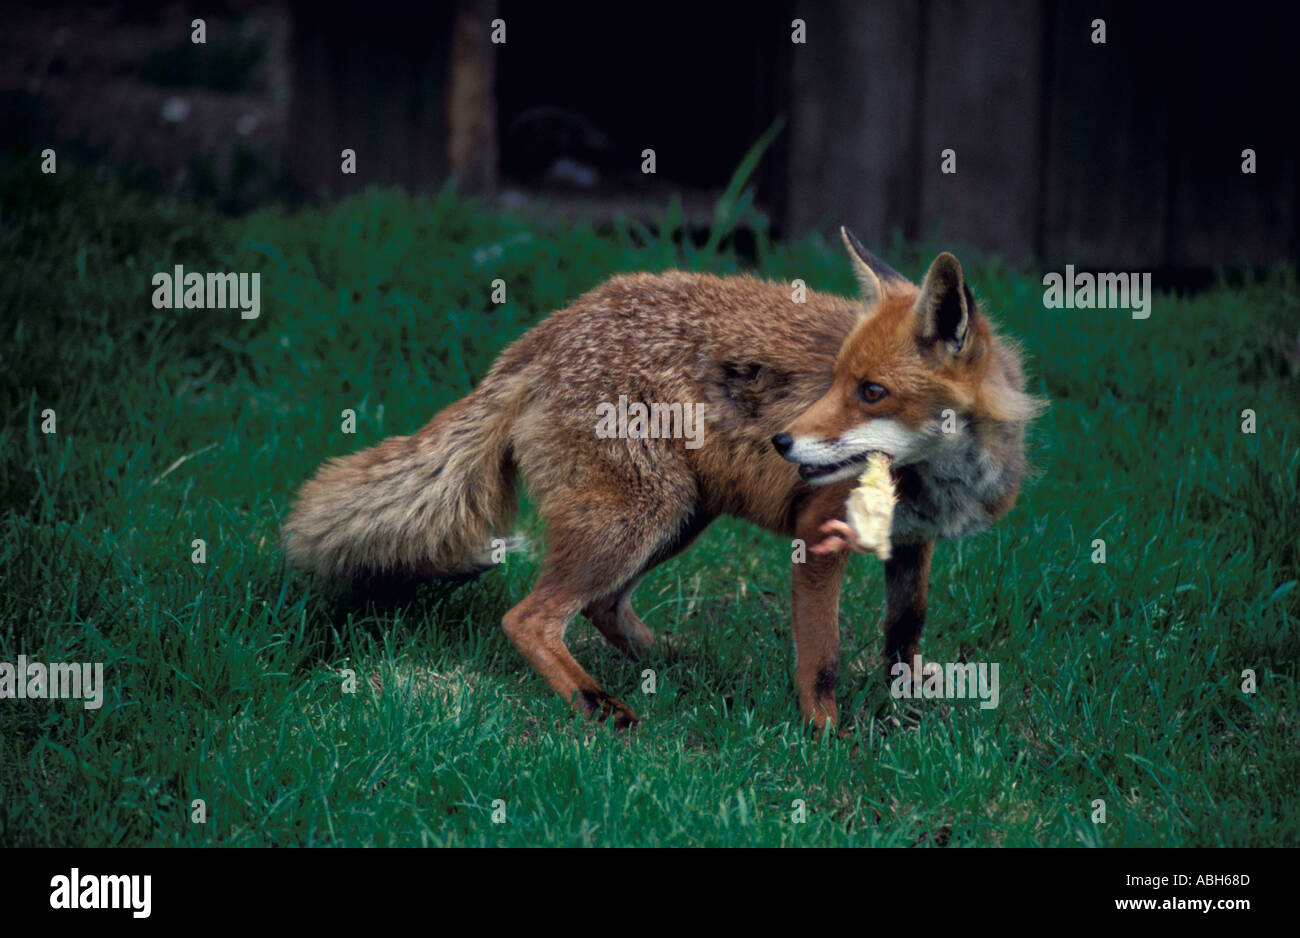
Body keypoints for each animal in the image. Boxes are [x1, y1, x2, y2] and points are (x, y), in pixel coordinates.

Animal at [283, 228, 1042, 731]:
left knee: (602, 607)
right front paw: (828, 739)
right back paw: (596, 703)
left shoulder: (914, 544)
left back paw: (680, 666)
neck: (938, 478)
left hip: (678, 516)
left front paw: (907, 705)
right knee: (531, 617)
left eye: (873, 391)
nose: (784, 442)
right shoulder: (817, 537)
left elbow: (905, 630)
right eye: (834, 381)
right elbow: (821, 658)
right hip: (643, 514)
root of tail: (545, 333)